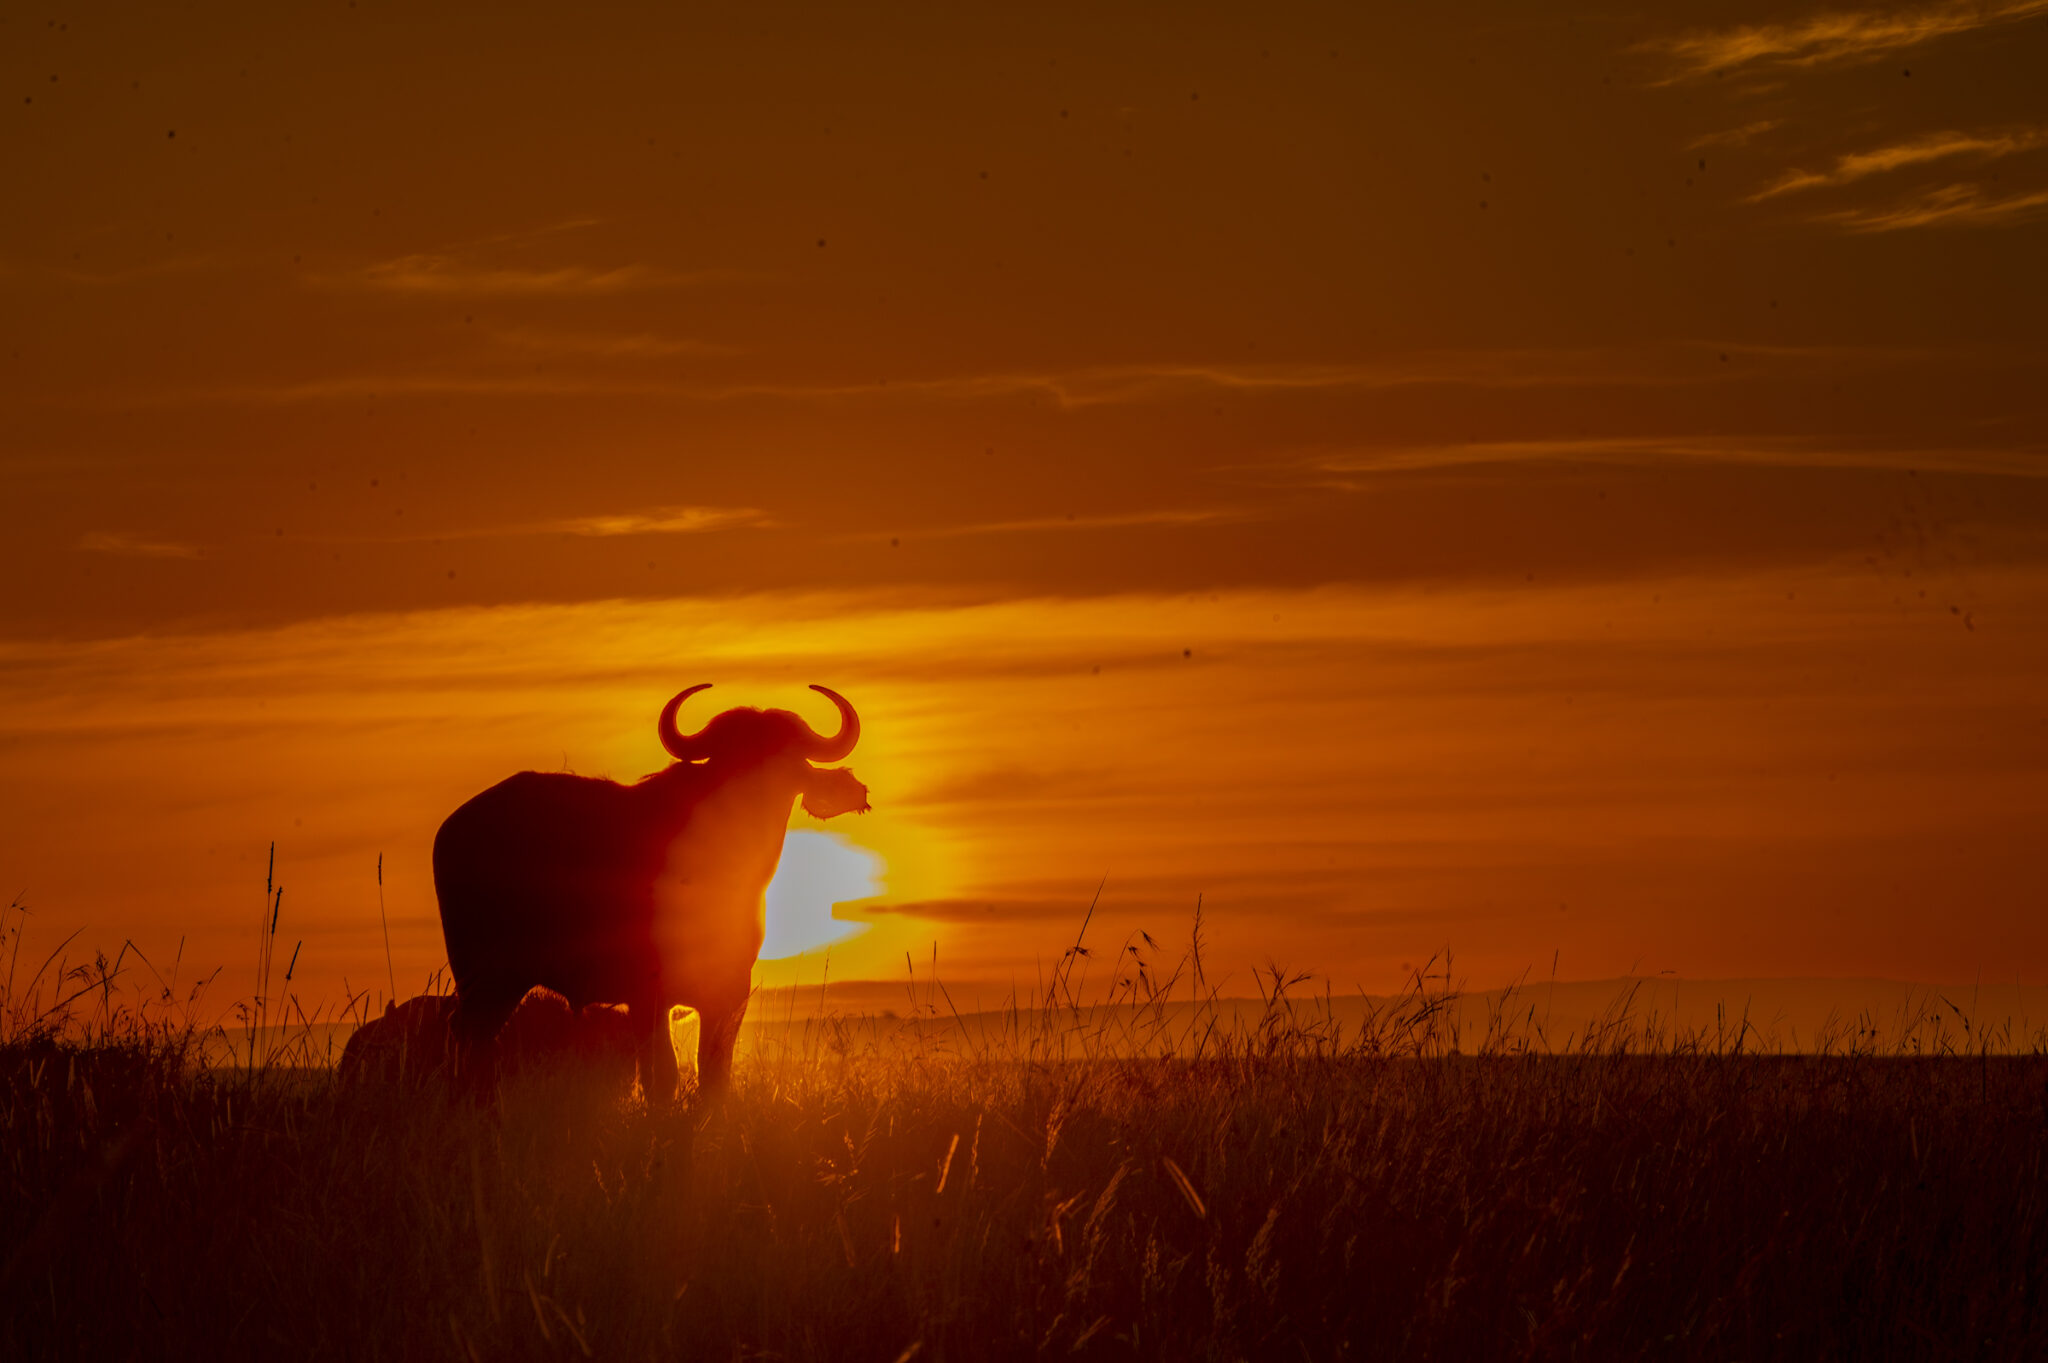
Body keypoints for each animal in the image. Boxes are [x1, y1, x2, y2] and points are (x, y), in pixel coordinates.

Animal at [432, 684, 870, 1098]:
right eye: (729, 766)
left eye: (786, 769)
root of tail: (455, 825)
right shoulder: (645, 996)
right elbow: (662, 1078)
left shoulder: (730, 994)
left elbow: (714, 1077)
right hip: (485, 971)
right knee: (468, 1034)